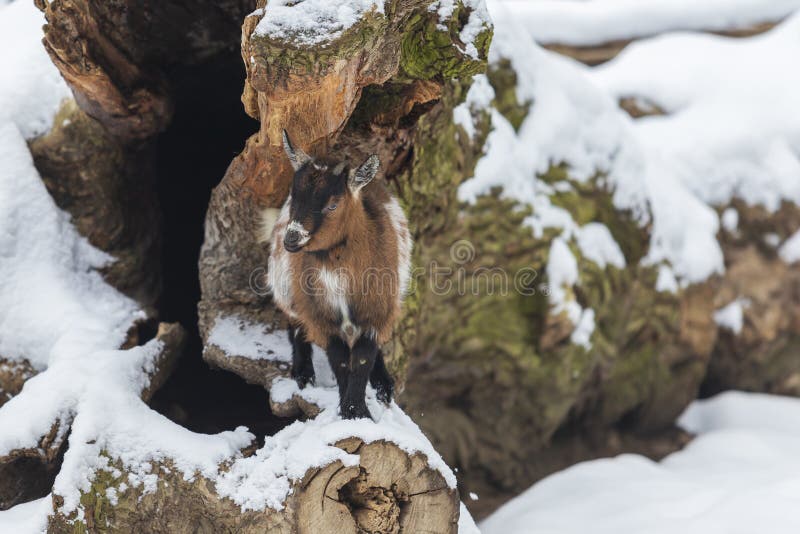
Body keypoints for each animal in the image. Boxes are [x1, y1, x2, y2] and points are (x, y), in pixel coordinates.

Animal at [265, 131, 412, 419]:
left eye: (333, 205)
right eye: (293, 195)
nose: (292, 238)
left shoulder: (376, 308)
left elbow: (364, 357)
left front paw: (359, 411)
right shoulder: (321, 313)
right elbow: (340, 360)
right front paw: (350, 411)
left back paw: (383, 385)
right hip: (287, 286)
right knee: (295, 325)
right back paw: (303, 373)